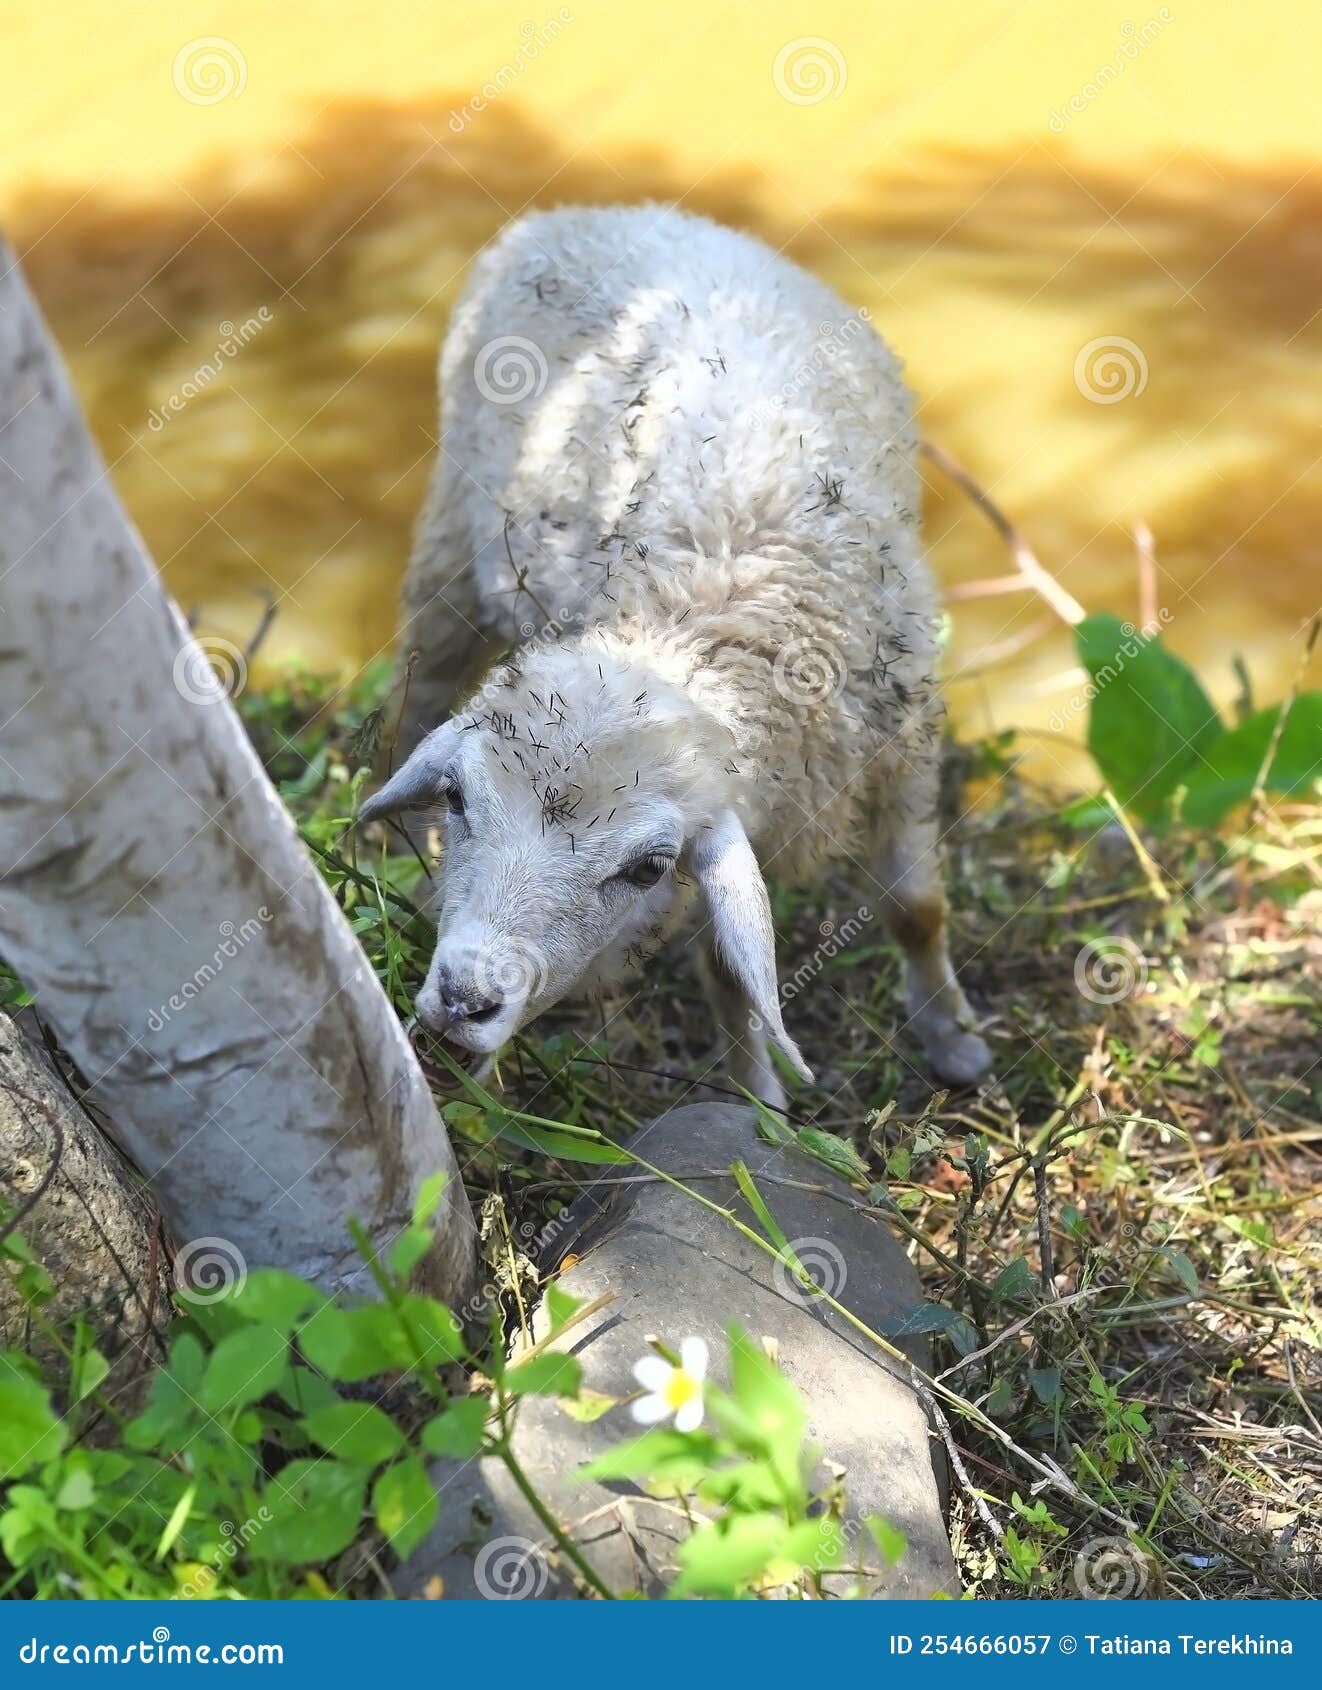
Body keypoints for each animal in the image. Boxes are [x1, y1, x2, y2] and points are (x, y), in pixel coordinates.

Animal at [360, 204, 991, 1109]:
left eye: (647, 867)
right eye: (457, 799)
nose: (463, 998)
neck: (712, 606)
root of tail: (587, 210)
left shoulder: (902, 739)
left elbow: (914, 907)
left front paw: (952, 1041)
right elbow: (730, 973)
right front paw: (759, 1102)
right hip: (450, 535)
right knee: (418, 688)